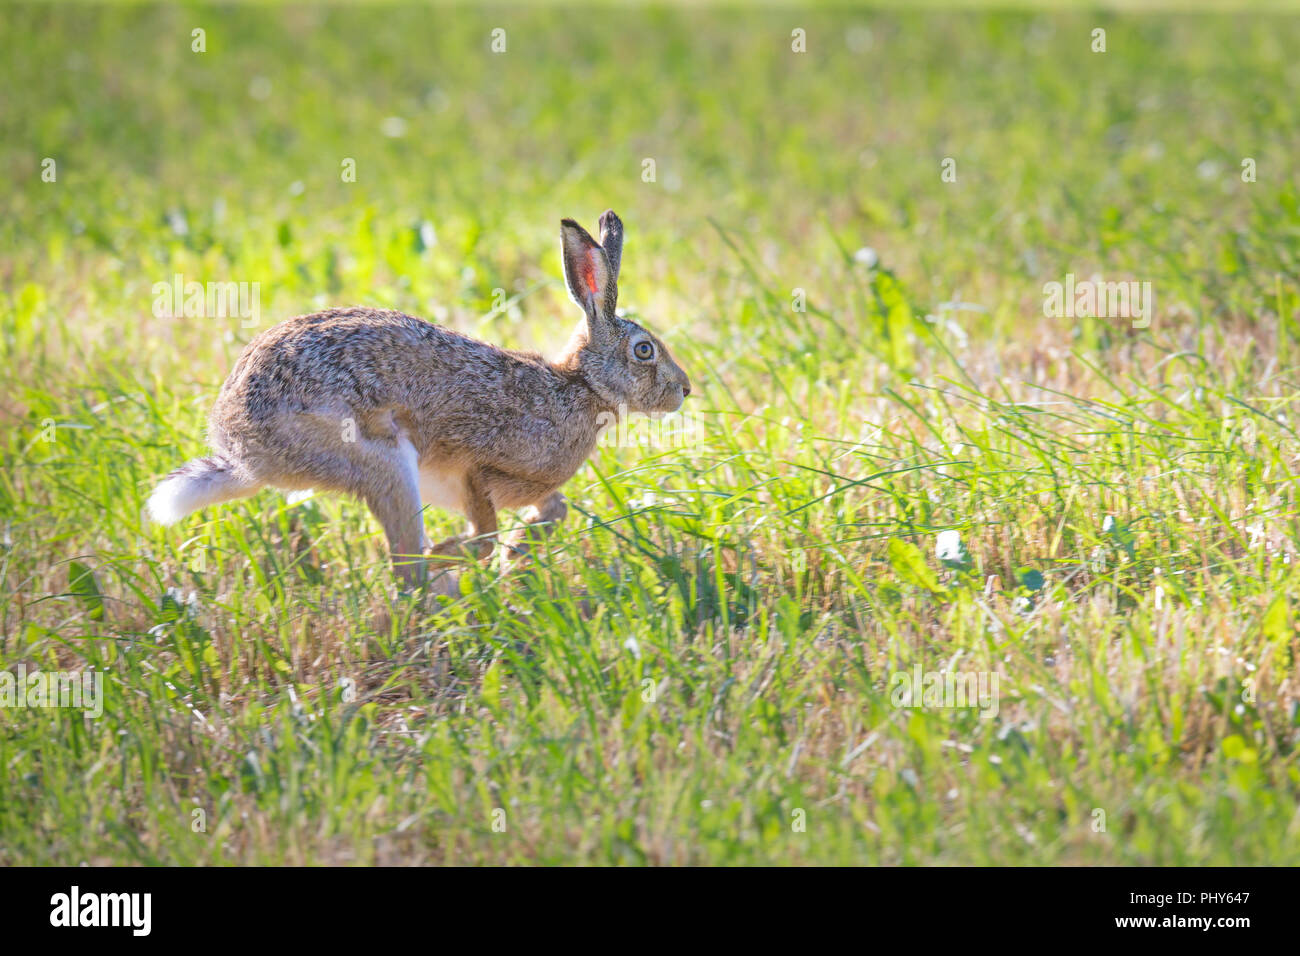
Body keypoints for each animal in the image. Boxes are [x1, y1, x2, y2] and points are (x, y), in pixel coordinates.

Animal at [146, 209, 692, 587]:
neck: (580, 387)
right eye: (644, 350)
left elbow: (554, 510)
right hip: (383, 461)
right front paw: (480, 553)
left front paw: (518, 551)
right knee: (407, 571)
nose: (684, 390)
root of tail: (240, 447)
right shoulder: (478, 470)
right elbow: (485, 532)